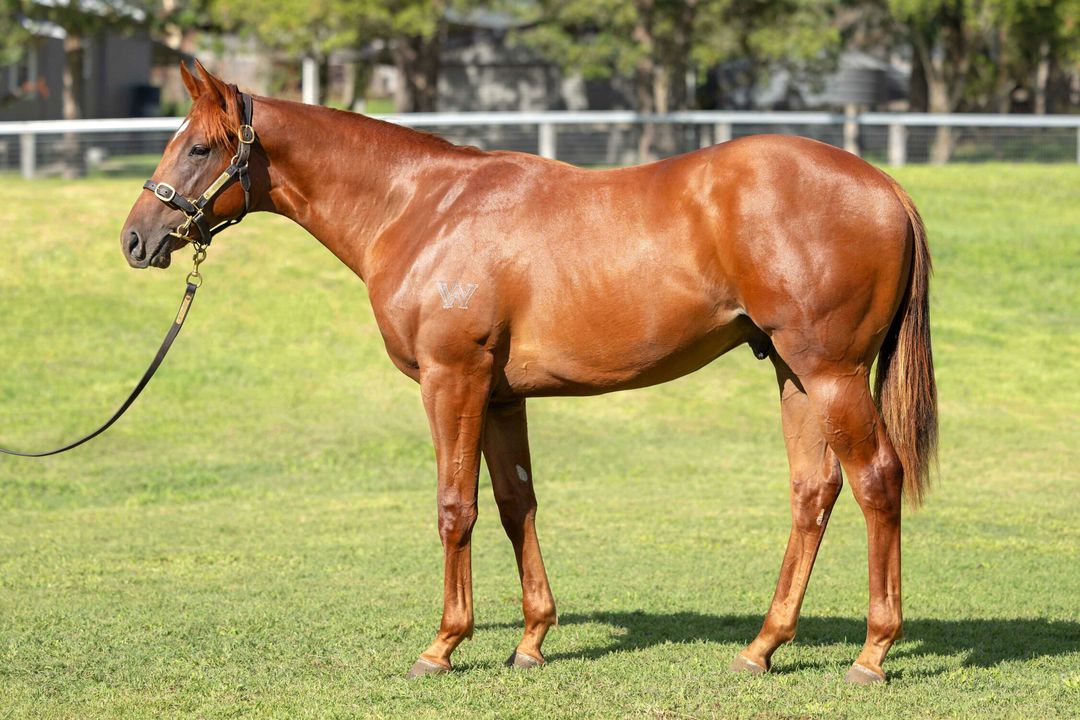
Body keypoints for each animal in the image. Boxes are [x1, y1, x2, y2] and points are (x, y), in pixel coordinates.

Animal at [121, 61, 937, 684]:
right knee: (813, 493)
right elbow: (517, 505)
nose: (135, 238)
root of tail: (885, 187)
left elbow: (456, 509)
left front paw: (442, 646)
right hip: (793, 374)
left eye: (198, 149)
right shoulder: (500, 397)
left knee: (876, 481)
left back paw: (872, 654)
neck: (421, 208)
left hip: (830, 373)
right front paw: (532, 640)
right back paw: (762, 648)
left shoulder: (452, 380)